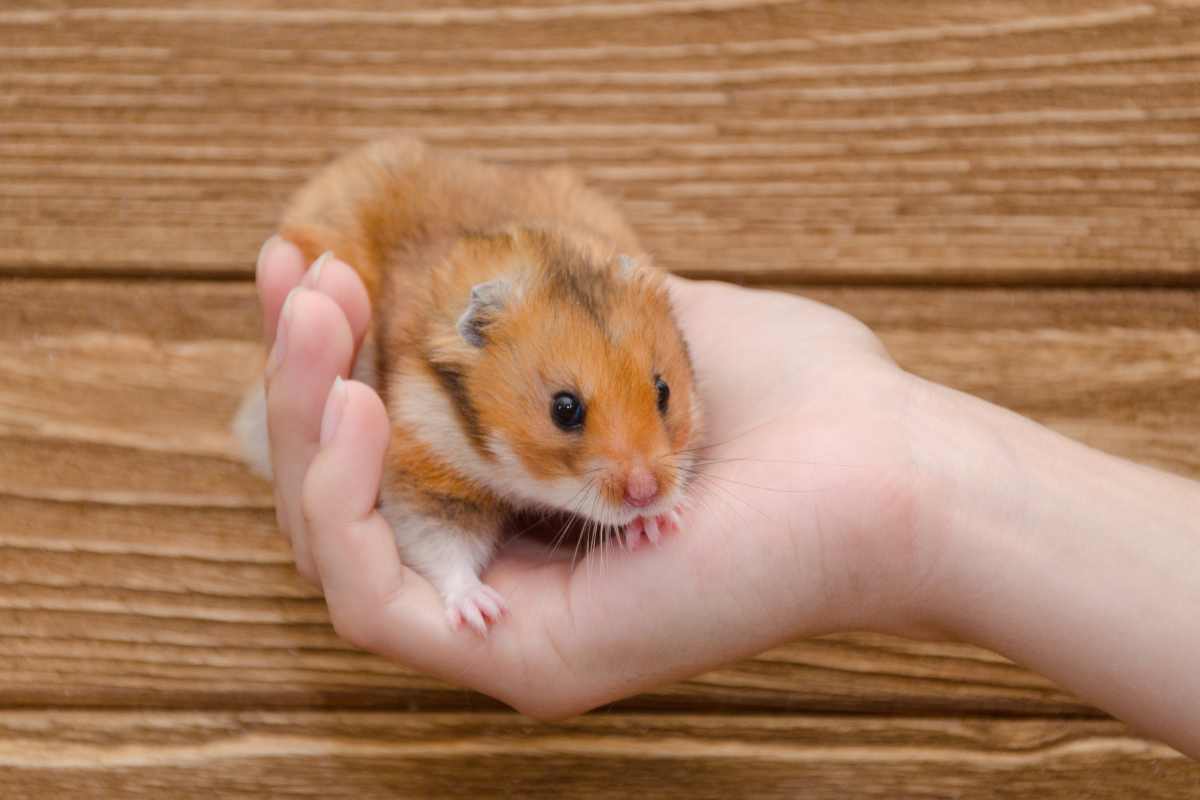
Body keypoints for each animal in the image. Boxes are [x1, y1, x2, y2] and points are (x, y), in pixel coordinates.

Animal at [235, 137, 701, 634]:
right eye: (564, 409)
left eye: (663, 392)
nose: (646, 494)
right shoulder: (425, 465)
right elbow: (441, 543)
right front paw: (482, 613)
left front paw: (662, 521)